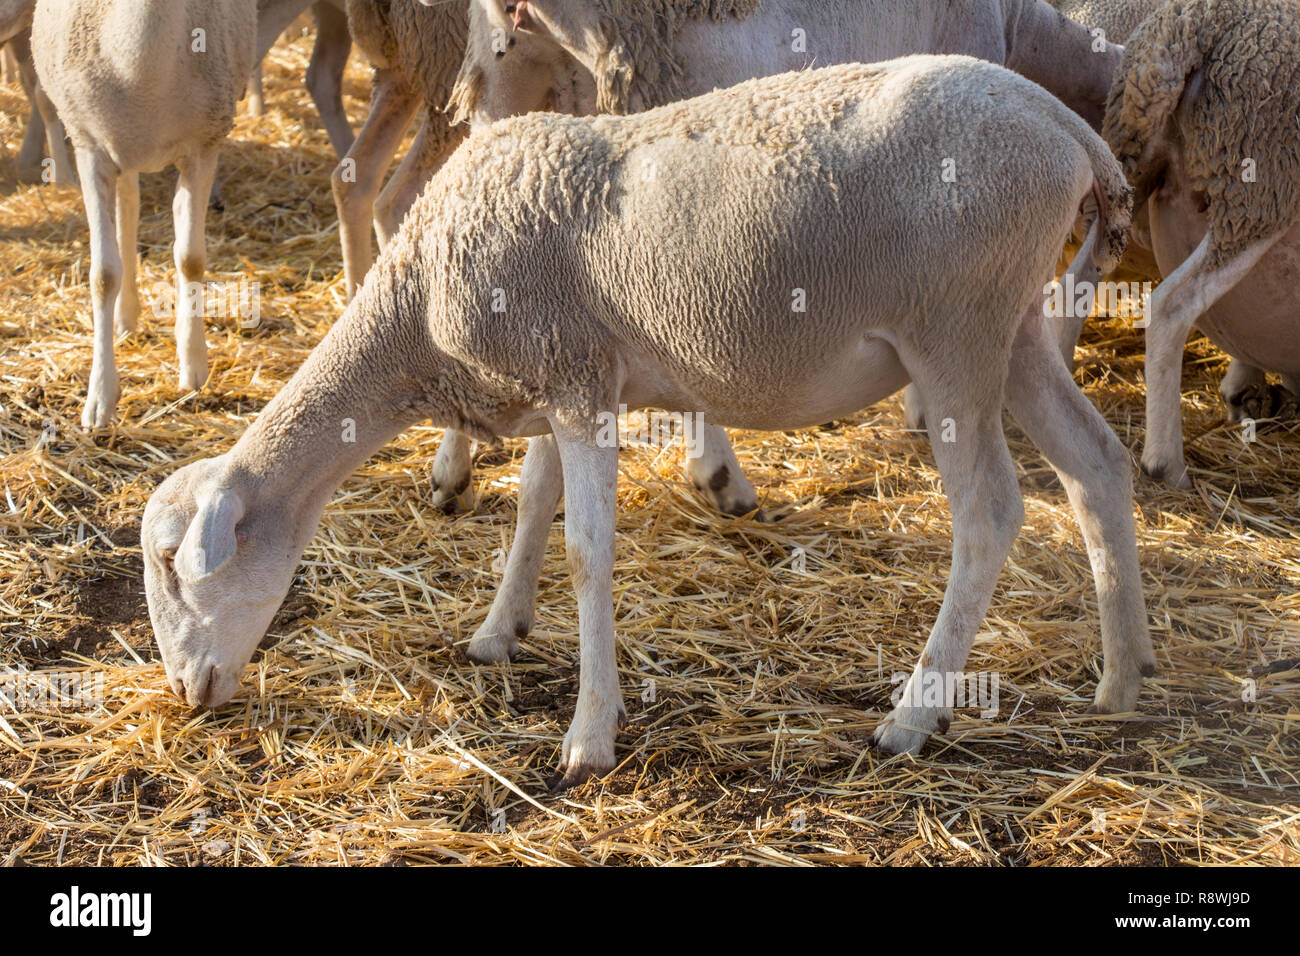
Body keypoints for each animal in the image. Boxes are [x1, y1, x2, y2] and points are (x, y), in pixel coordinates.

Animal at [33, 0, 257, 428]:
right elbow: (103, 274)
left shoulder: (204, 145)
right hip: (117, 145)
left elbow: (191, 259)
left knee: (139, 209)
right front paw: (100, 399)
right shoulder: (89, 147)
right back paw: (125, 317)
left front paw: (194, 368)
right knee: (128, 206)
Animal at [140, 56, 1154, 787]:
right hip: (1017, 328)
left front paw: (589, 738)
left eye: (174, 565)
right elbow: (532, 508)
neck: (415, 312)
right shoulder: (559, 379)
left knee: (989, 515)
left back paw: (911, 715)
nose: (187, 694)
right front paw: (498, 632)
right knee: (1097, 467)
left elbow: (588, 550)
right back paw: (1121, 678)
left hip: (957, 333)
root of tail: (1067, 129)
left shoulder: (579, 383)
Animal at [426, 0, 1126, 516]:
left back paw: (450, 475)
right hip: (645, 116)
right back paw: (721, 476)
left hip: (513, 109)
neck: (1021, 25)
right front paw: (919, 413)